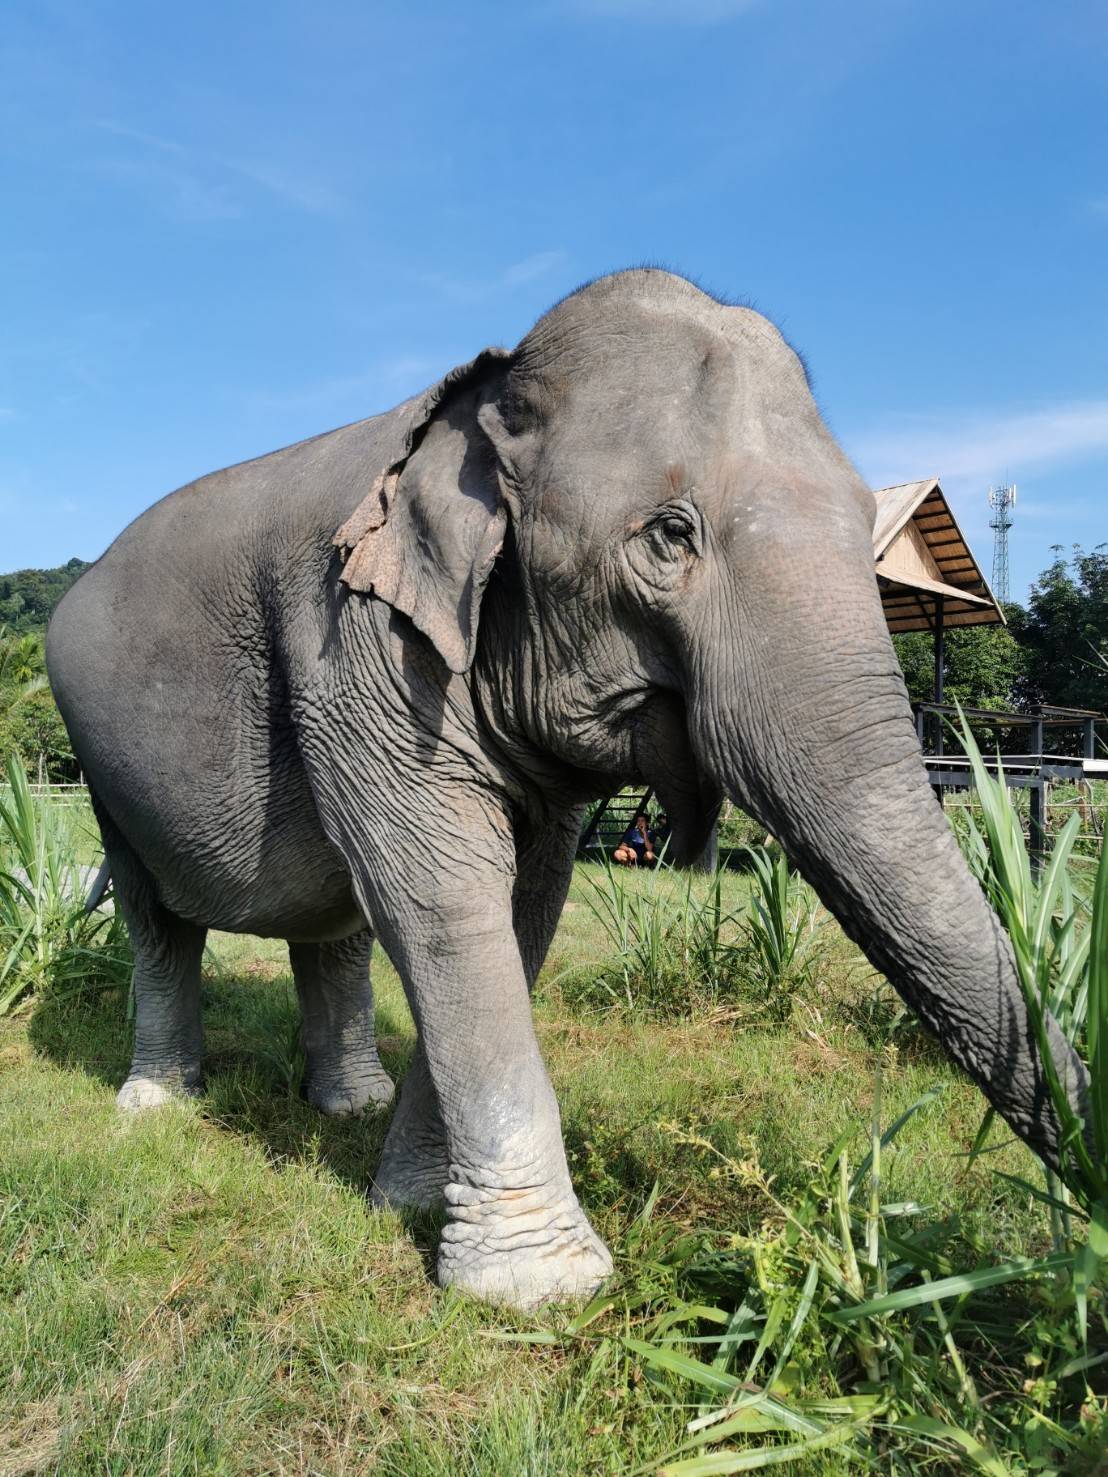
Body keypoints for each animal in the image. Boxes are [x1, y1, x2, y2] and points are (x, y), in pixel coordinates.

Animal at [47, 268, 1089, 1310]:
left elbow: (525, 903)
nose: (1075, 1241)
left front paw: (407, 1202)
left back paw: (351, 1105)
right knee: (158, 920)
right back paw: (157, 1101)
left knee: (334, 926)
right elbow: (441, 891)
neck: (479, 400)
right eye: (669, 536)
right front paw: (541, 1286)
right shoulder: (355, 642)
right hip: (101, 769)